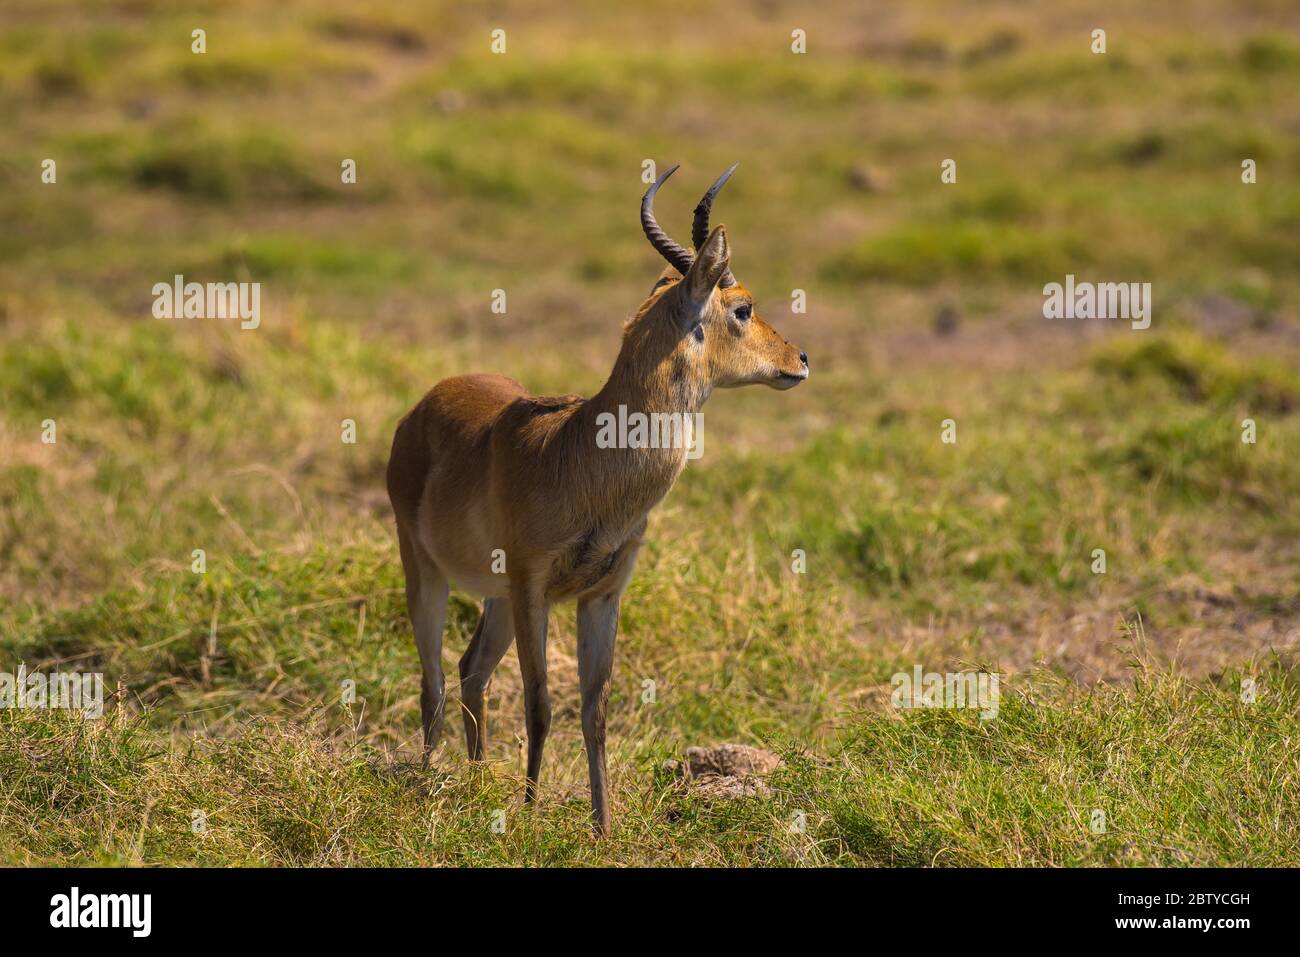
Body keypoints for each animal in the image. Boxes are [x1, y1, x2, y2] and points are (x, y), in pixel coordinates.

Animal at [385, 164, 808, 835]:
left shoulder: (602, 594)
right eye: (742, 307)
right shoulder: (534, 589)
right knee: (433, 683)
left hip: (497, 599)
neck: (583, 456)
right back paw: (431, 785)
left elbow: (595, 710)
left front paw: (602, 826)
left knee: (472, 673)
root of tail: (423, 405)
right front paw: (531, 818)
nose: (799, 358)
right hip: (425, 572)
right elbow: (540, 705)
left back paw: (477, 783)